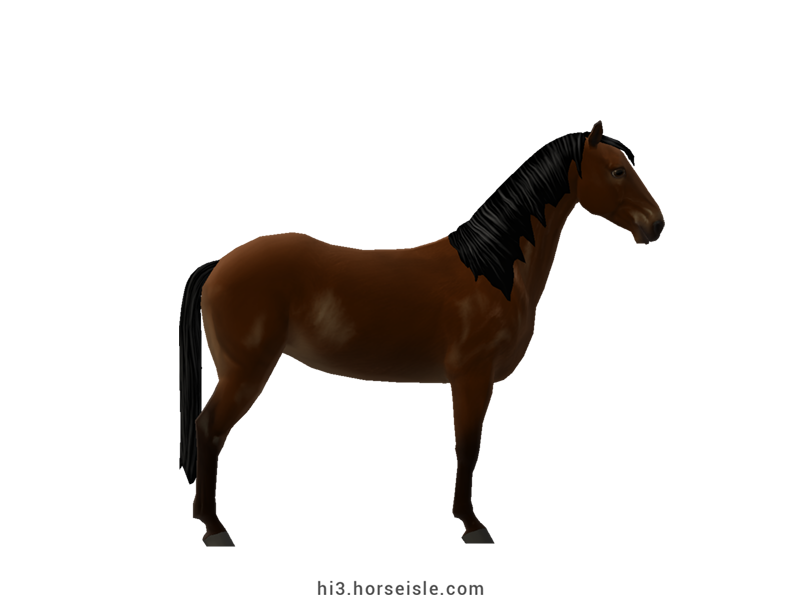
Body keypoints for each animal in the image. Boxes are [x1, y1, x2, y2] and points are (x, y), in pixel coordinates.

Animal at [179, 123, 664, 538]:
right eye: (617, 170)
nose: (655, 224)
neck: (493, 270)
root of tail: (220, 266)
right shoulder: (471, 374)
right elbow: (468, 446)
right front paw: (469, 522)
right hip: (244, 371)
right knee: (209, 429)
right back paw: (214, 526)